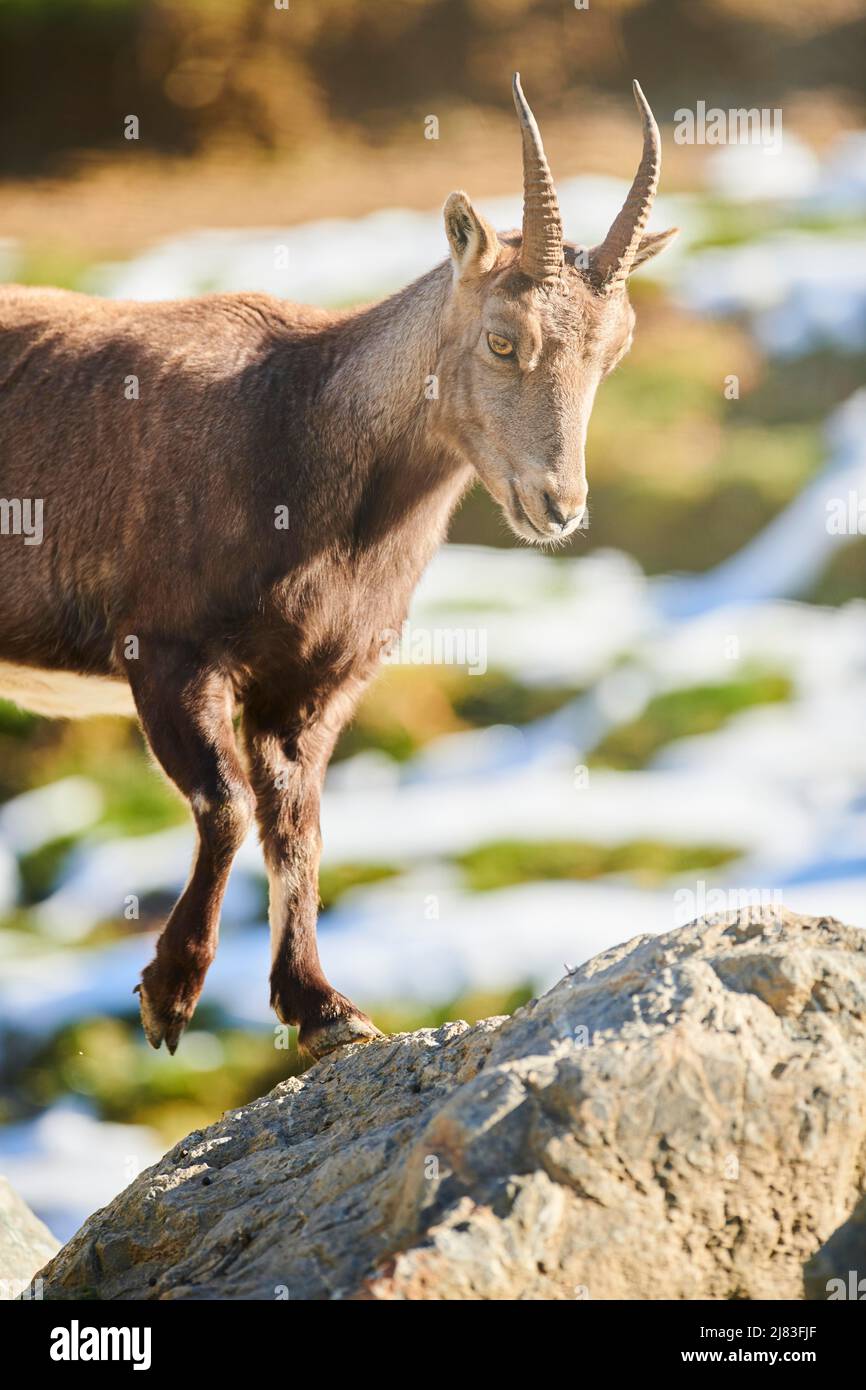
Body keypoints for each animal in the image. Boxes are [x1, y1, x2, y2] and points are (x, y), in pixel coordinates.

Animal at [0, 77, 677, 1057]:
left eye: (613, 349)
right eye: (502, 338)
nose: (559, 504)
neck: (298, 427)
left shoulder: (314, 681)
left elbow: (298, 823)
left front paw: (322, 1009)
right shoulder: (166, 651)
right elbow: (227, 802)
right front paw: (169, 995)